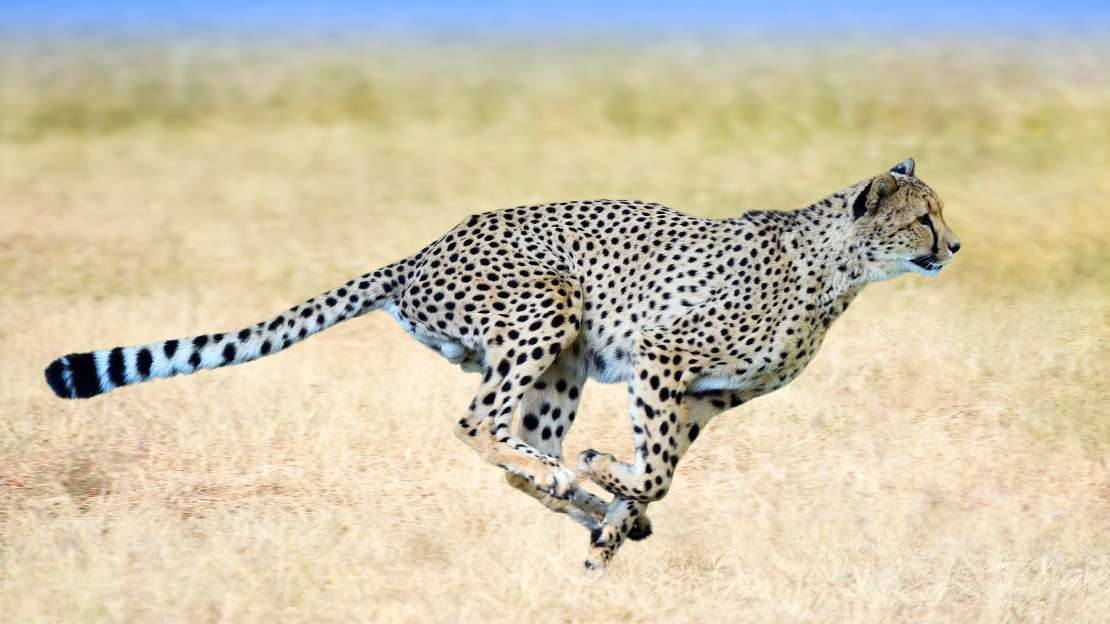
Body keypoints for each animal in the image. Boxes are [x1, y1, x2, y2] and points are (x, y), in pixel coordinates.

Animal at [44, 158, 960, 572]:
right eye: (923, 218)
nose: (953, 247)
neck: (838, 268)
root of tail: (422, 250)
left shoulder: (707, 398)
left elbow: (660, 473)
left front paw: (612, 525)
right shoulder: (665, 357)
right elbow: (655, 467)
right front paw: (611, 487)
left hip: (564, 362)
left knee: (526, 454)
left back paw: (576, 495)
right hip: (547, 309)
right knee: (476, 423)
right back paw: (572, 480)